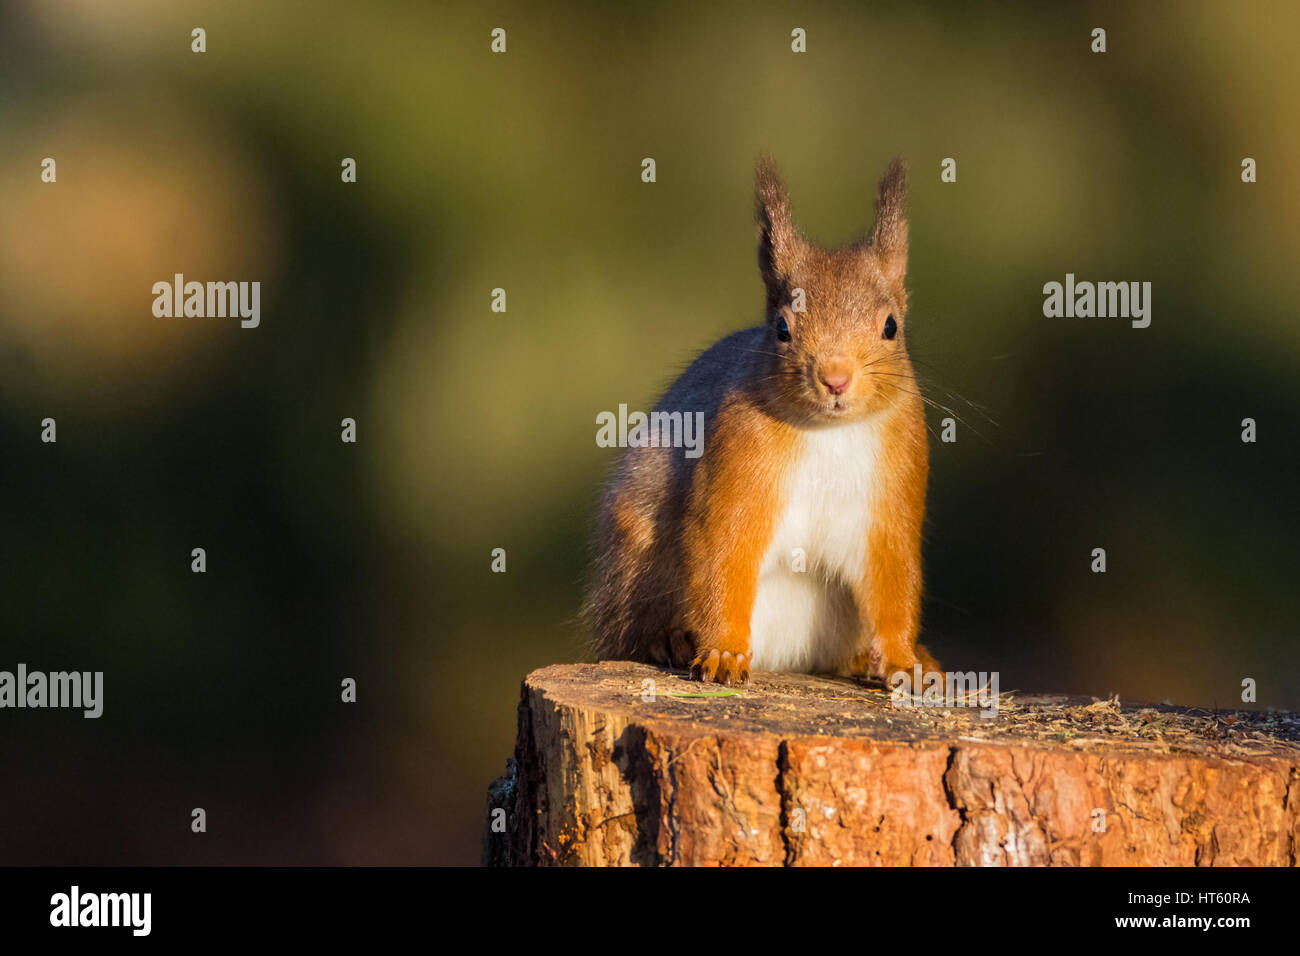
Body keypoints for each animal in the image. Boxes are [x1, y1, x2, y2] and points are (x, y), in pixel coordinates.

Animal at [583, 156, 941, 687]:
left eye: (891, 327)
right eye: (782, 329)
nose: (835, 378)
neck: (826, 432)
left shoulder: (892, 500)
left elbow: (894, 578)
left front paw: (901, 660)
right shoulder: (736, 469)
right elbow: (722, 552)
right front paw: (724, 653)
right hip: (634, 561)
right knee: (631, 629)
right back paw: (670, 639)